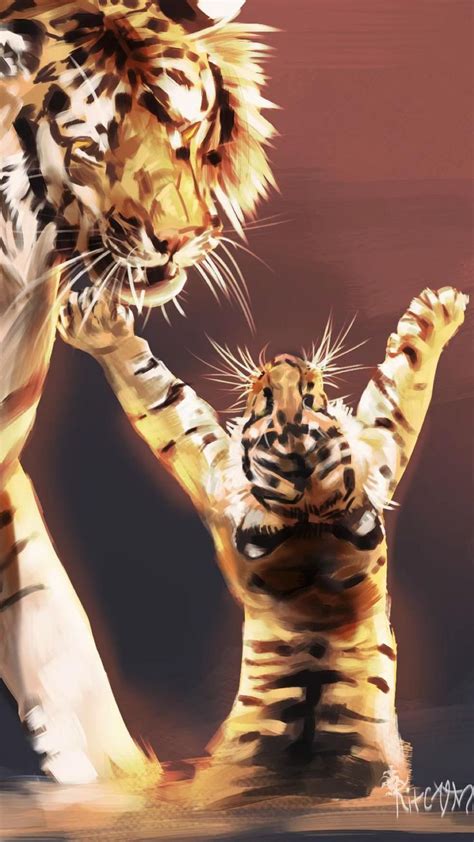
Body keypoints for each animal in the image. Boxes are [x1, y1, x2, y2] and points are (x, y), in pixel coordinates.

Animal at [58, 285, 468, 805]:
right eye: (273, 397)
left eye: (304, 395)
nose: (284, 362)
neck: (308, 518)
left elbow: (163, 397)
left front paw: (436, 313)